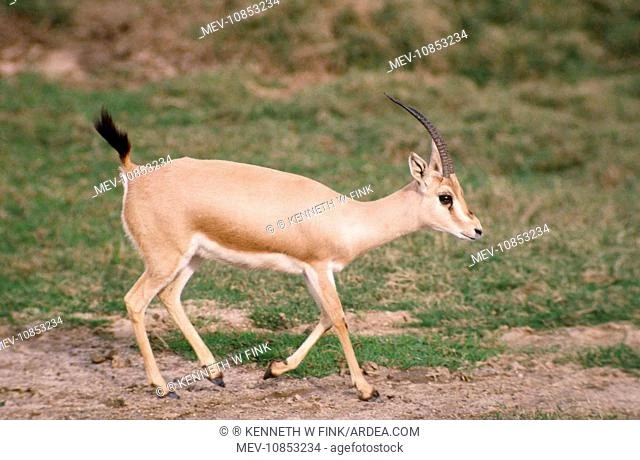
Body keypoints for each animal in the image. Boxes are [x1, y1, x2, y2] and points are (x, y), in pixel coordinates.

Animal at [94, 94, 483, 401]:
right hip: (164, 260)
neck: (349, 217)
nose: (476, 230)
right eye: (444, 197)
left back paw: (216, 374)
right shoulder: (320, 268)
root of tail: (134, 172)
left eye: (459, 192)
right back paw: (162, 387)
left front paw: (274, 369)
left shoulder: (310, 272)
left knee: (169, 296)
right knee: (135, 300)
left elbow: (324, 317)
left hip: (192, 259)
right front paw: (366, 389)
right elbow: (339, 318)